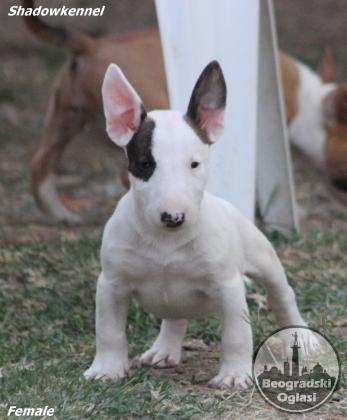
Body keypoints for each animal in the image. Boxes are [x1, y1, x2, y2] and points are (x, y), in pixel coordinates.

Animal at [83, 60, 310, 388]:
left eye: (194, 164)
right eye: (145, 164)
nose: (173, 217)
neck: (166, 240)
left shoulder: (228, 286)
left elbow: (236, 334)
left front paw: (233, 375)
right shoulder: (111, 284)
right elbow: (108, 331)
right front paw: (106, 369)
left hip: (263, 258)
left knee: (282, 295)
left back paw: (303, 336)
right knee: (175, 317)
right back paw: (164, 350)